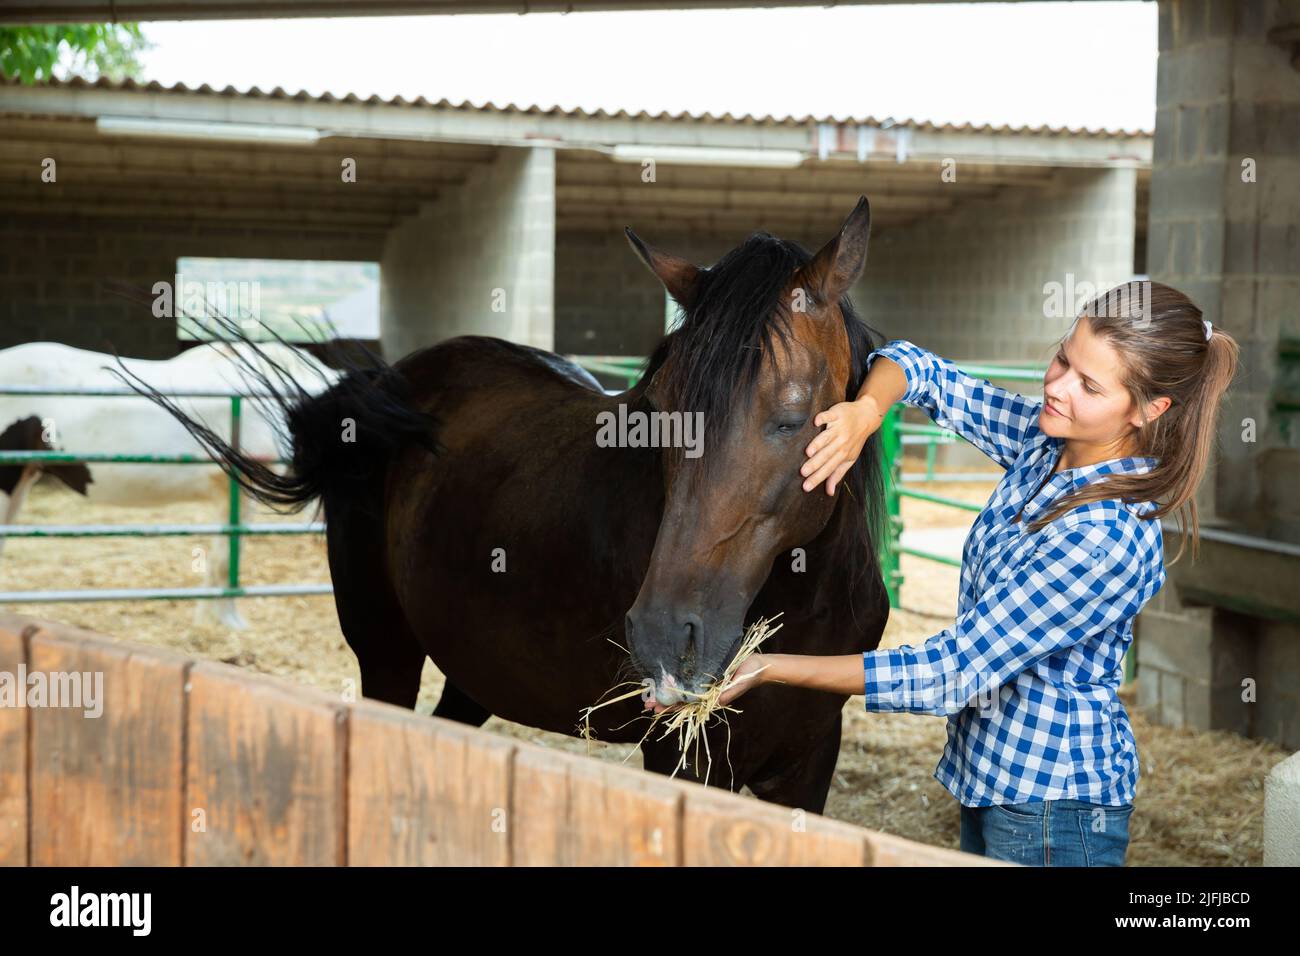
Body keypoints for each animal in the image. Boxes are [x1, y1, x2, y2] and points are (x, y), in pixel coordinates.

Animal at [124, 196, 891, 811]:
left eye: (792, 417)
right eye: (658, 411)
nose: (663, 638)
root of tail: (385, 389)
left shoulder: (809, 764)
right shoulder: (688, 765)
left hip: (475, 665)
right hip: (385, 649)